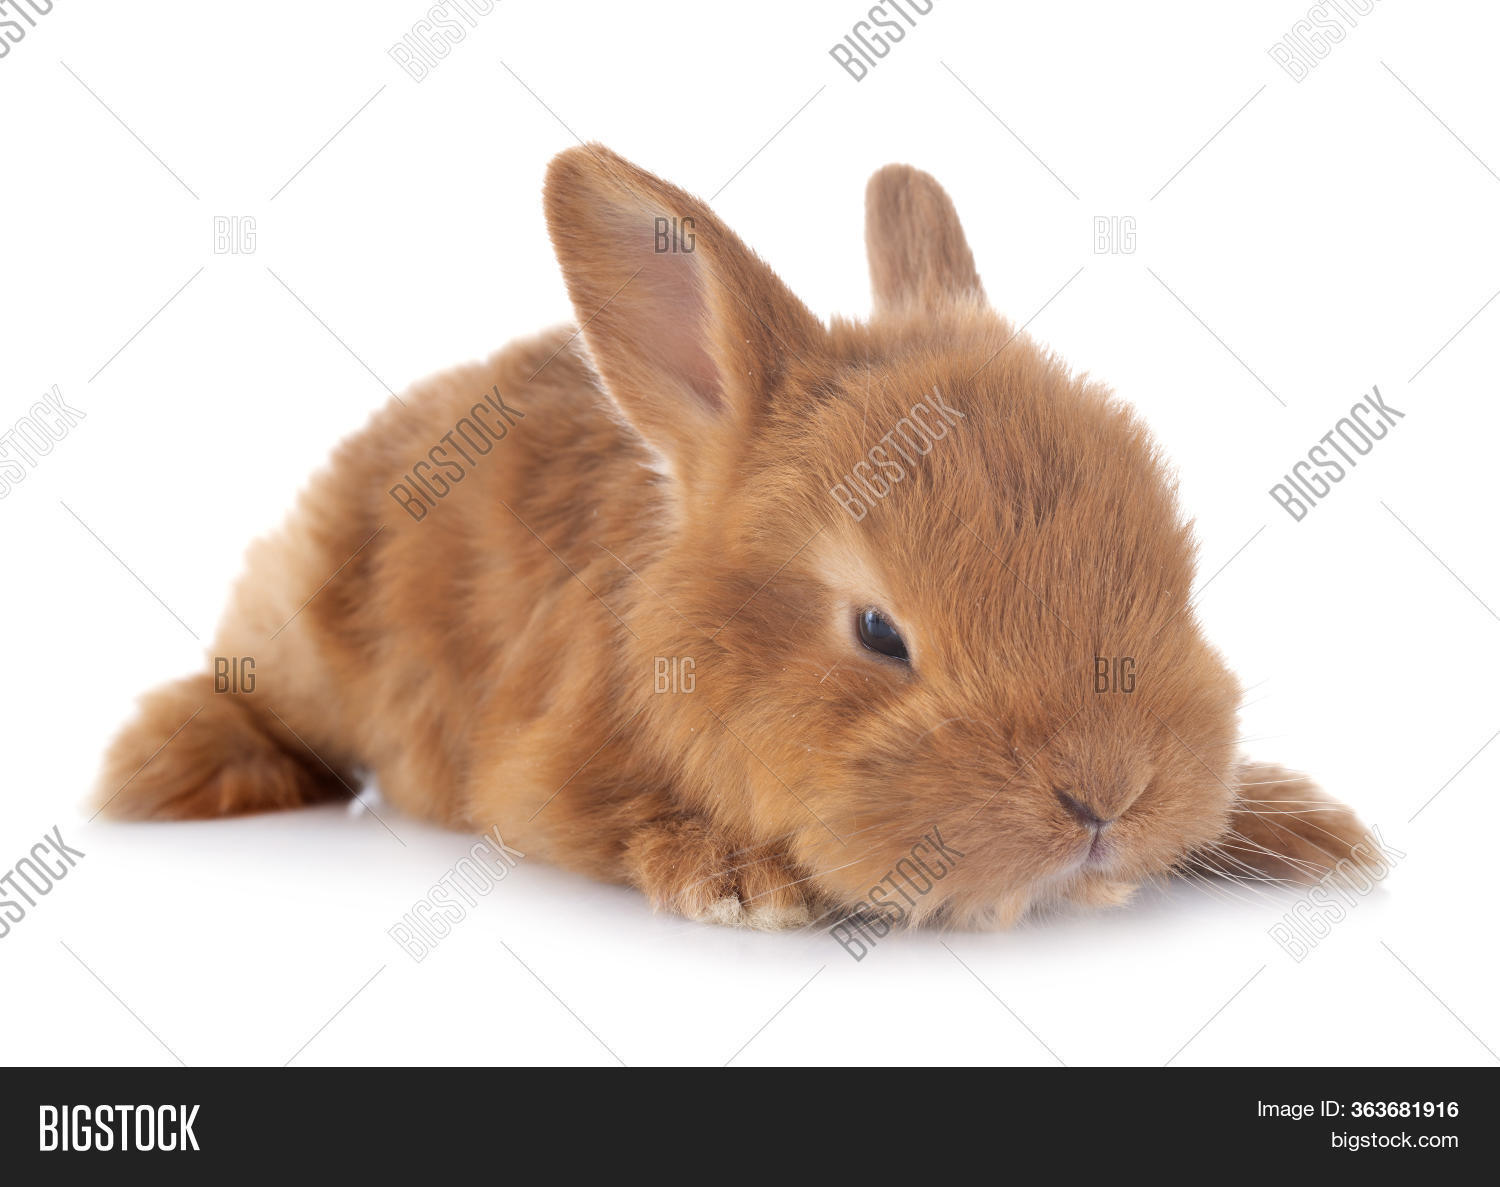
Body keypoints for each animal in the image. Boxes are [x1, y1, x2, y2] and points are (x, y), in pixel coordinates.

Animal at [94, 144, 1380, 931]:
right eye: (878, 630)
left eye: (1173, 571)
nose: (1109, 792)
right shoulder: (538, 773)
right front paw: (739, 878)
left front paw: (1302, 826)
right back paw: (159, 768)